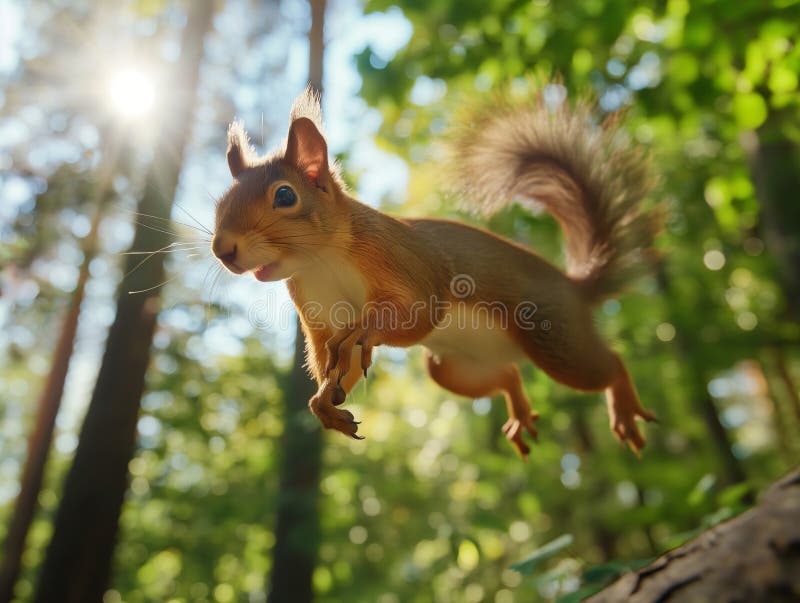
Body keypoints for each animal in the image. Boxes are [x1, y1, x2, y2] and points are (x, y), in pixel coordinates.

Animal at [212, 87, 660, 459]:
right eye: (220, 202)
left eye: (285, 195)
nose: (222, 249)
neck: (322, 260)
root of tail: (575, 287)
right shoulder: (318, 315)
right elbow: (338, 365)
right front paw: (324, 404)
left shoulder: (403, 261)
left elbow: (417, 314)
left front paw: (363, 328)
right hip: (454, 369)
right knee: (508, 374)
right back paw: (518, 410)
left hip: (556, 341)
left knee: (609, 364)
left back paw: (624, 409)